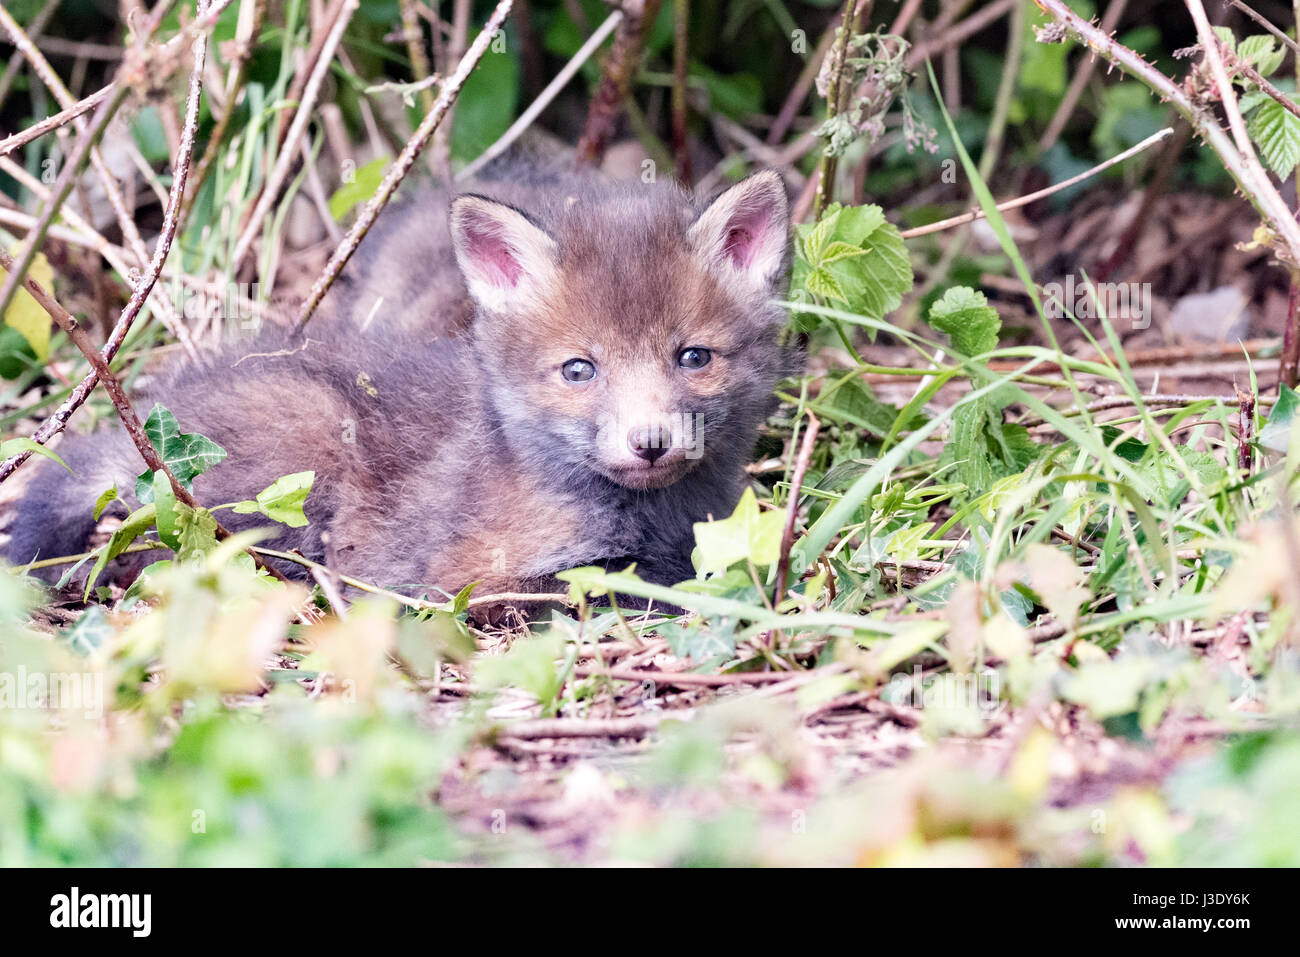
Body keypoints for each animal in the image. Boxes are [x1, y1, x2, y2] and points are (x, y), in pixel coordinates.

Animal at [1, 166, 794, 610]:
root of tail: (153, 421)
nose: (651, 443)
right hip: (296, 460)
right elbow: (621, 586)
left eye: (693, 357)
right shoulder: (474, 579)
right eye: (579, 370)